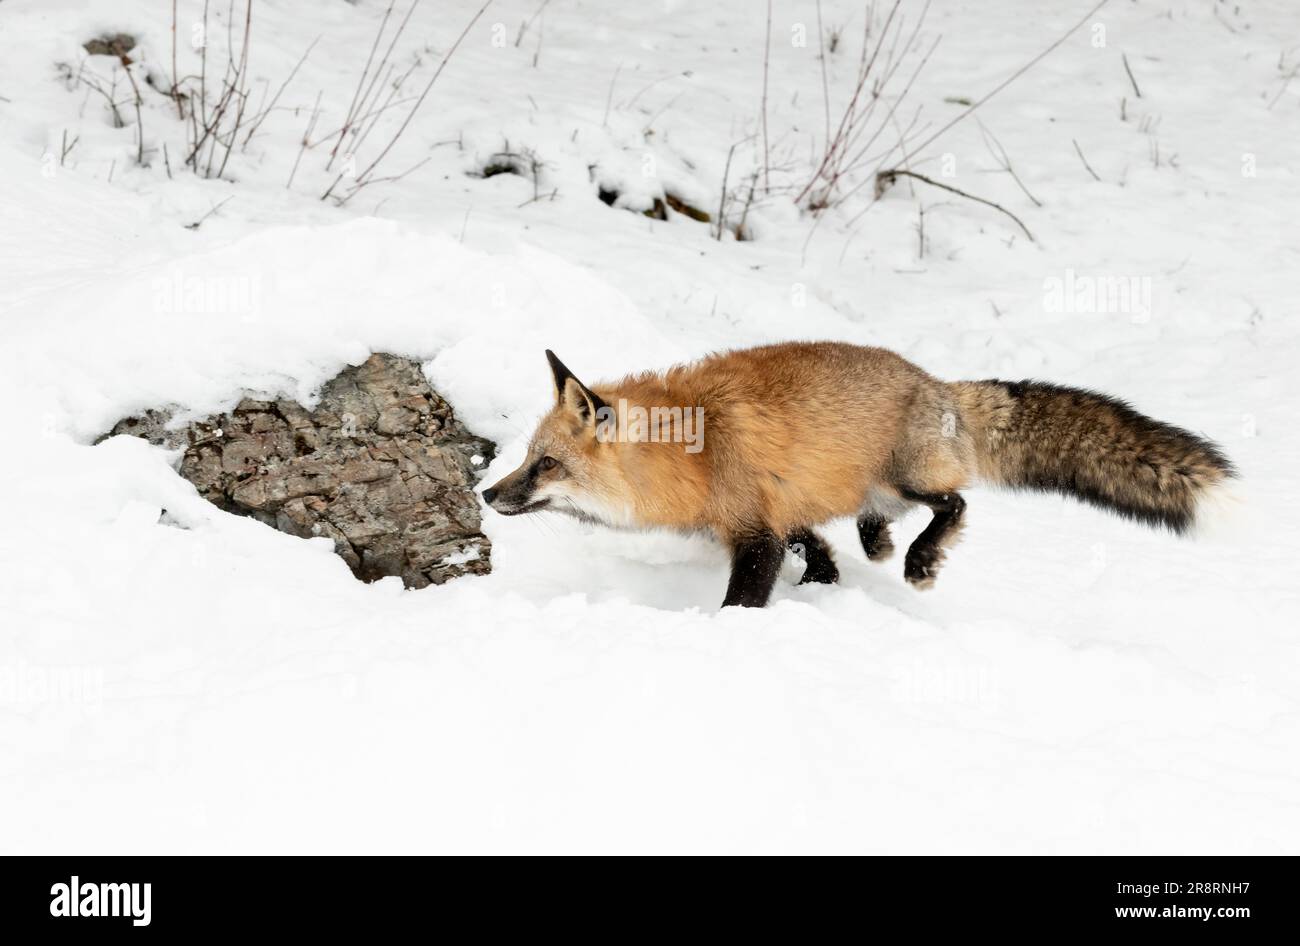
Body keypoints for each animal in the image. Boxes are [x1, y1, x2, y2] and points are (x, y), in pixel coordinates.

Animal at [482, 342, 1234, 608]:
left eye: (546, 464)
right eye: (525, 456)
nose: (487, 493)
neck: (694, 453)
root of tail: (937, 384)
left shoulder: (754, 530)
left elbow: (743, 598)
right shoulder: (774, 509)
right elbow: (813, 544)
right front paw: (825, 578)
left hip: (906, 477)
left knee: (955, 503)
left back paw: (921, 559)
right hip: (873, 487)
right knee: (883, 519)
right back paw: (878, 543)